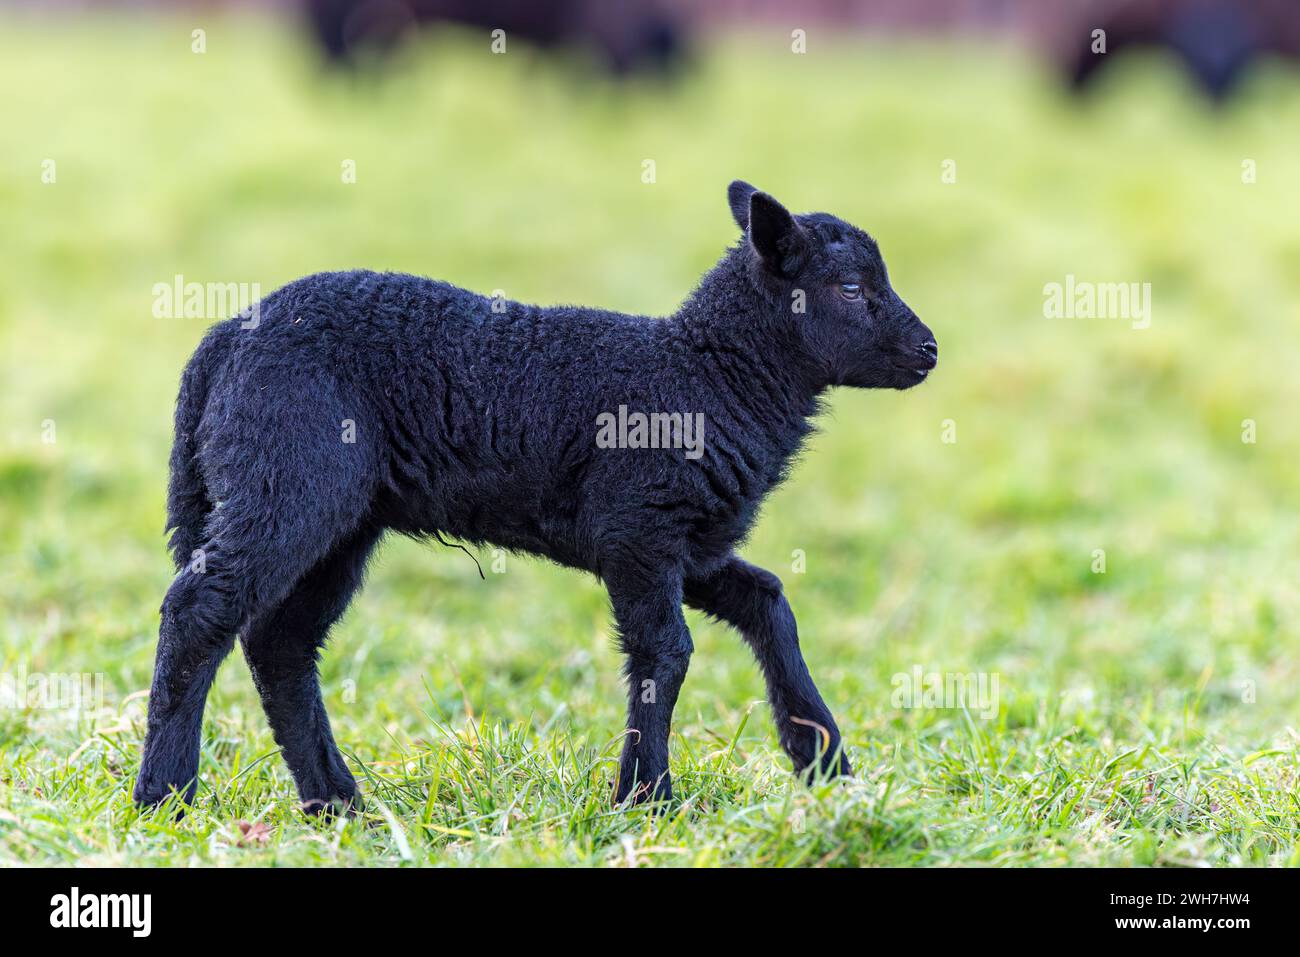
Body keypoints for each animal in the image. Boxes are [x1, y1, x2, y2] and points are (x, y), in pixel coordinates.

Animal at [133, 180, 938, 812]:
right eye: (852, 288)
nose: (929, 350)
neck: (708, 374)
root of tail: (224, 340)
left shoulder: (688, 545)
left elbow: (769, 601)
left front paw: (823, 762)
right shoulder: (638, 528)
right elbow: (667, 651)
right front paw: (646, 799)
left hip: (340, 521)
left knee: (280, 643)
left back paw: (336, 803)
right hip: (288, 482)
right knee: (200, 610)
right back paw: (165, 796)